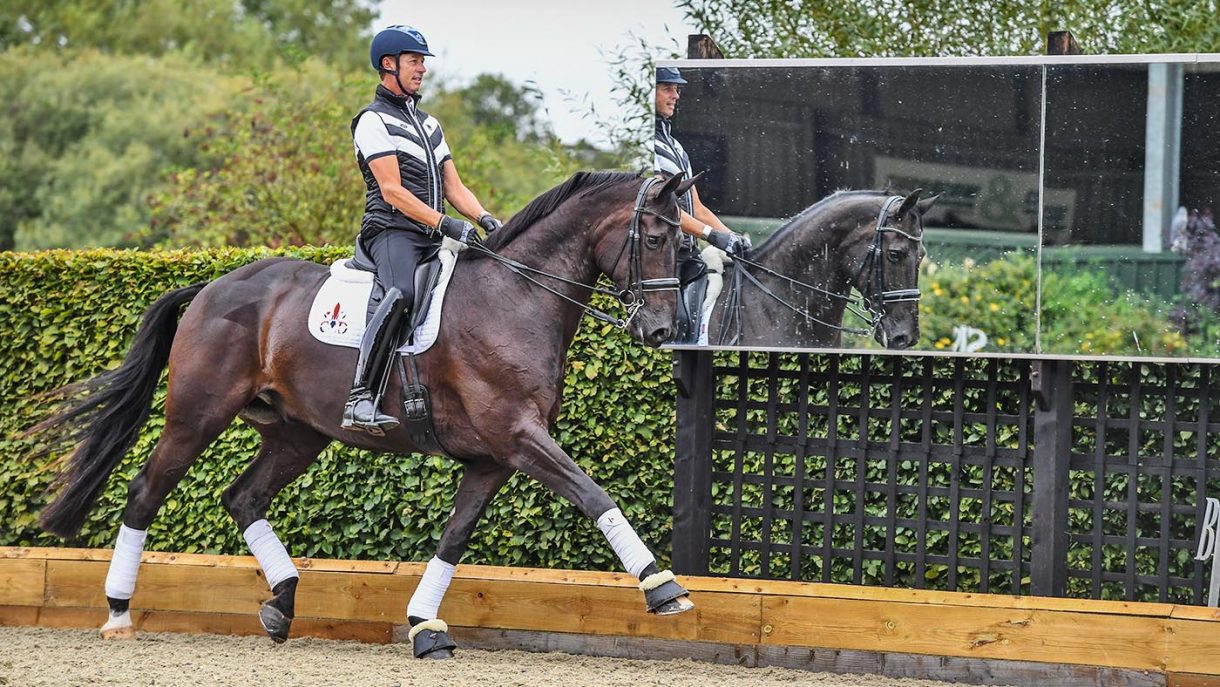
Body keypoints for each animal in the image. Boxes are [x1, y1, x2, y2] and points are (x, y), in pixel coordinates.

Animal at [27, 171, 697, 659]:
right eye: (656, 240)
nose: (663, 331)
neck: (517, 298)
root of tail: (214, 287)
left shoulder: (494, 457)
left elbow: (455, 537)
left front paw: (425, 626)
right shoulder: (519, 436)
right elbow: (594, 494)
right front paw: (663, 587)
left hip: (298, 434)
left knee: (243, 497)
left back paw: (282, 604)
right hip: (197, 416)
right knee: (146, 491)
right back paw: (119, 613)